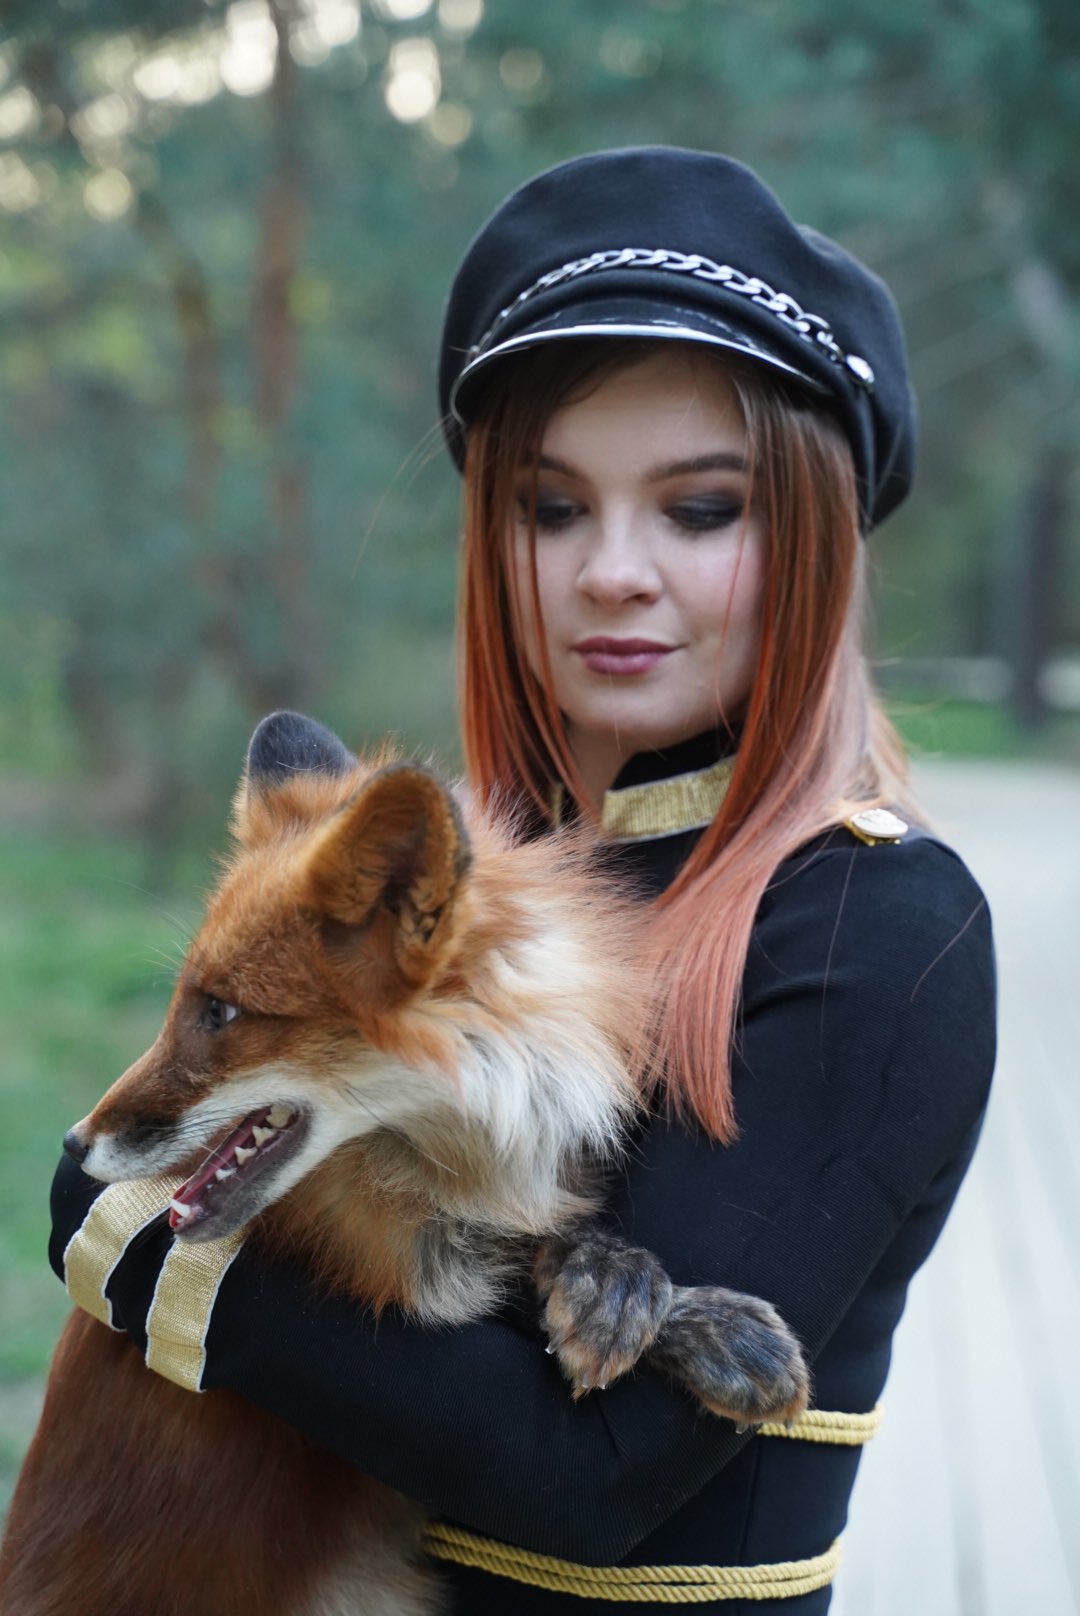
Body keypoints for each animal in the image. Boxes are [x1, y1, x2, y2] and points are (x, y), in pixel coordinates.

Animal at [0, 711, 808, 1616]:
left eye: (220, 1012)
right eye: (189, 1005)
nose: (73, 1146)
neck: (430, 1162)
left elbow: (556, 1243)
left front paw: (629, 1284)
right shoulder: (399, 1274)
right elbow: (520, 1275)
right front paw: (662, 1310)